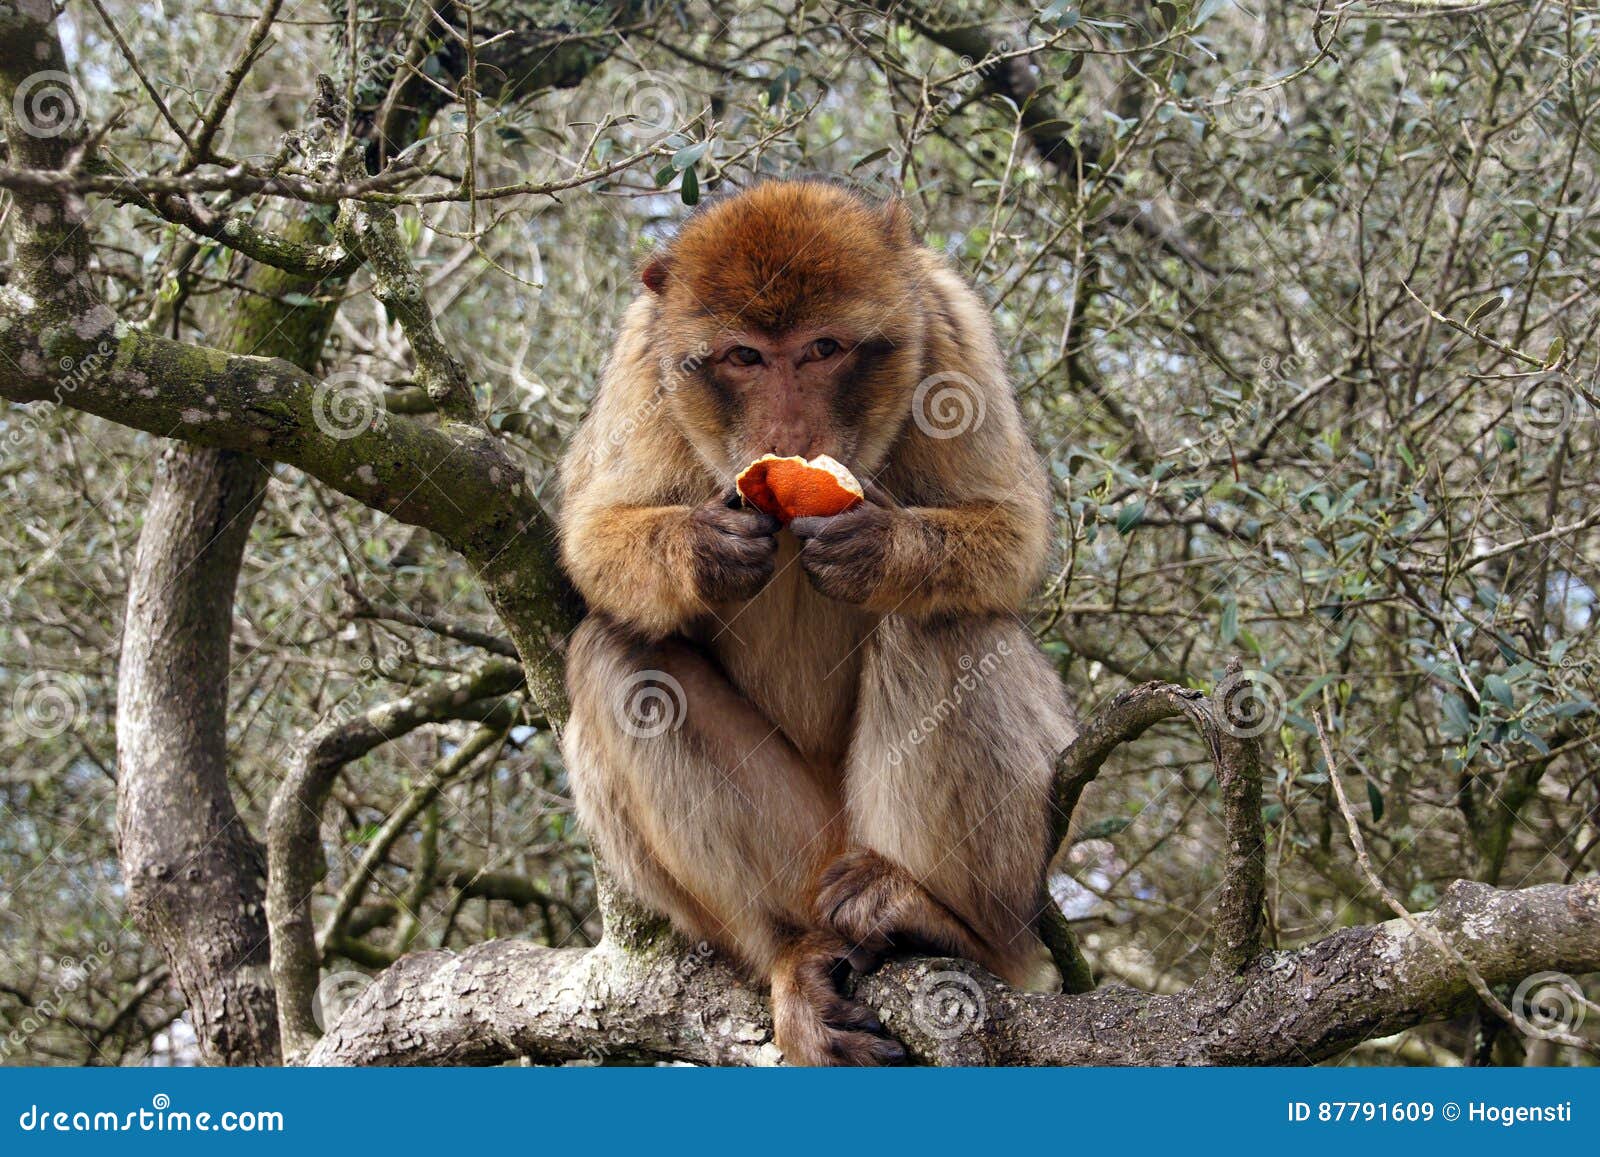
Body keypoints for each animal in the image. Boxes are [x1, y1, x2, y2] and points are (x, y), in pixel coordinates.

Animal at [557, 180, 1075, 1066]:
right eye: (745, 357)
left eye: (823, 348)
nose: (789, 436)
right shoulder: (640, 368)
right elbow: (591, 533)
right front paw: (704, 551)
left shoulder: (950, 330)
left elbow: (1011, 529)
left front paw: (879, 548)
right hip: (805, 849)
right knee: (617, 654)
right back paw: (792, 951)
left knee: (945, 625)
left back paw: (943, 922)